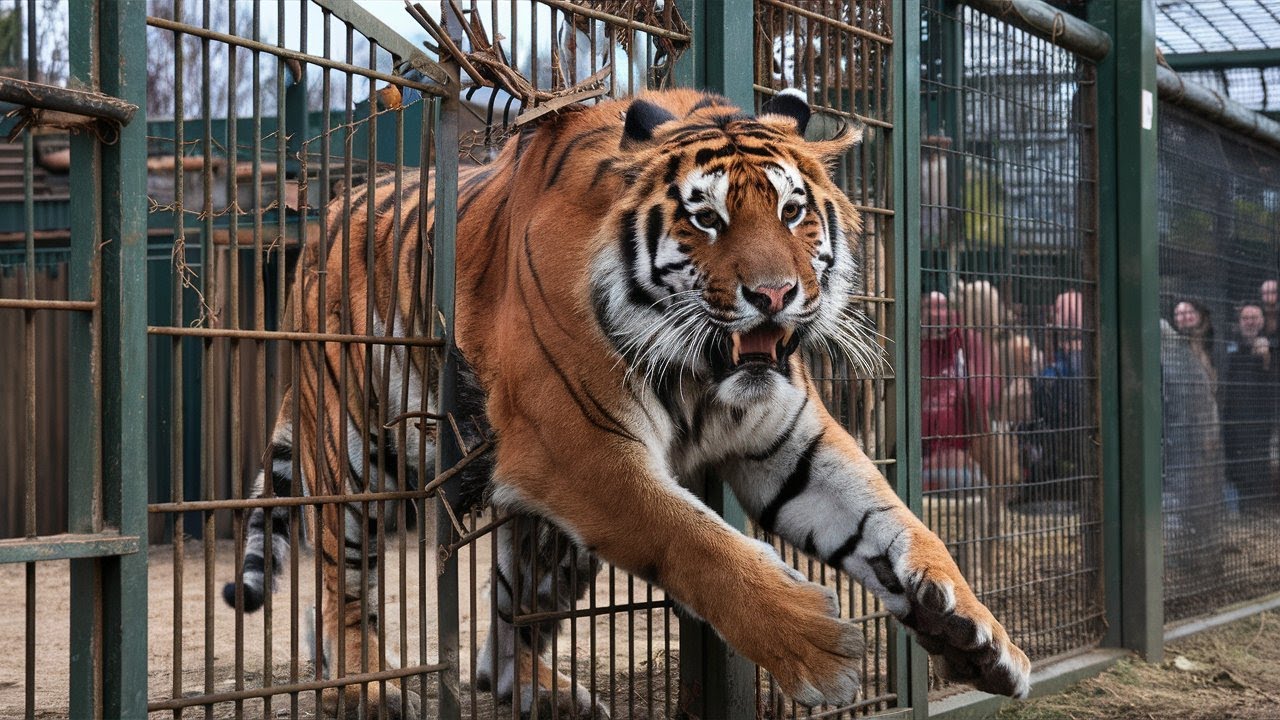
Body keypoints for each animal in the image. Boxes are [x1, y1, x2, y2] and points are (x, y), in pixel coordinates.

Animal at [223, 88, 1032, 718]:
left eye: (794, 212)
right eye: (706, 219)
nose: (774, 295)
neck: (704, 375)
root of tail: (328, 213)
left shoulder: (789, 445)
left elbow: (897, 522)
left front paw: (979, 638)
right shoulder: (579, 450)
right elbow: (696, 540)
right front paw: (816, 646)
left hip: (548, 539)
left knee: (501, 636)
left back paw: (546, 692)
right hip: (354, 453)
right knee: (337, 585)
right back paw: (364, 684)